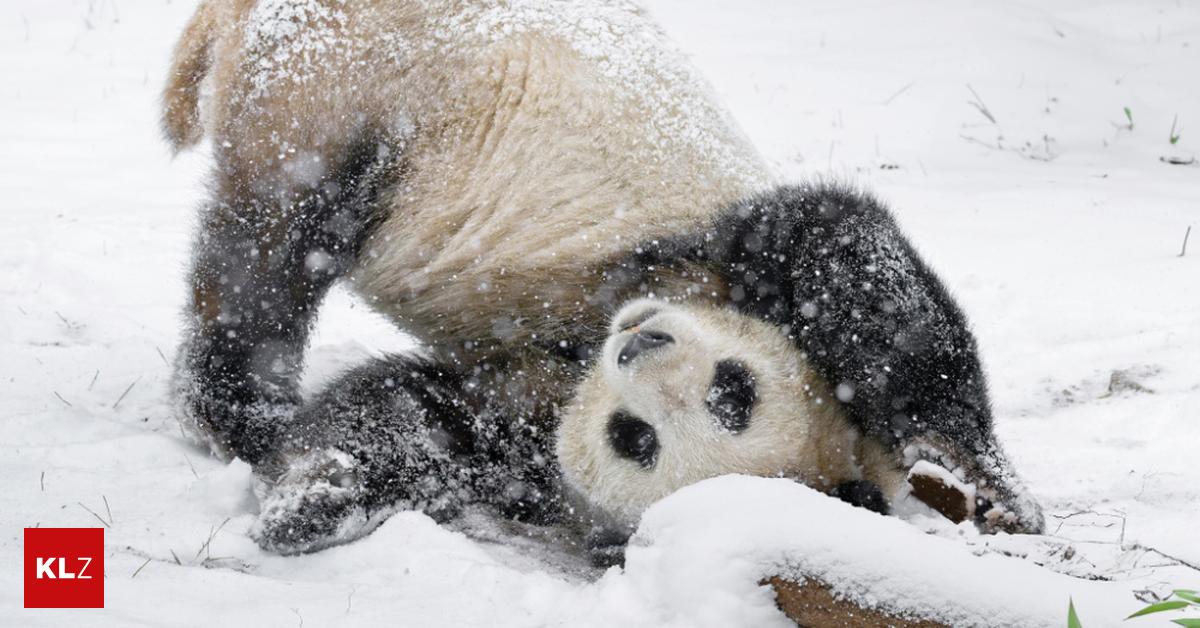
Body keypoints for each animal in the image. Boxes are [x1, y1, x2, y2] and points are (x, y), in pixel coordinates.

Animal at [163, 0, 1044, 552]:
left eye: (637, 438)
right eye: (735, 386)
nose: (639, 344)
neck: (586, 345)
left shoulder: (531, 413)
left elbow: (418, 416)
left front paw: (319, 499)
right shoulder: (714, 262)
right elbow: (850, 265)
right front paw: (986, 486)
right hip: (349, 84)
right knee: (271, 250)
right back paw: (247, 410)